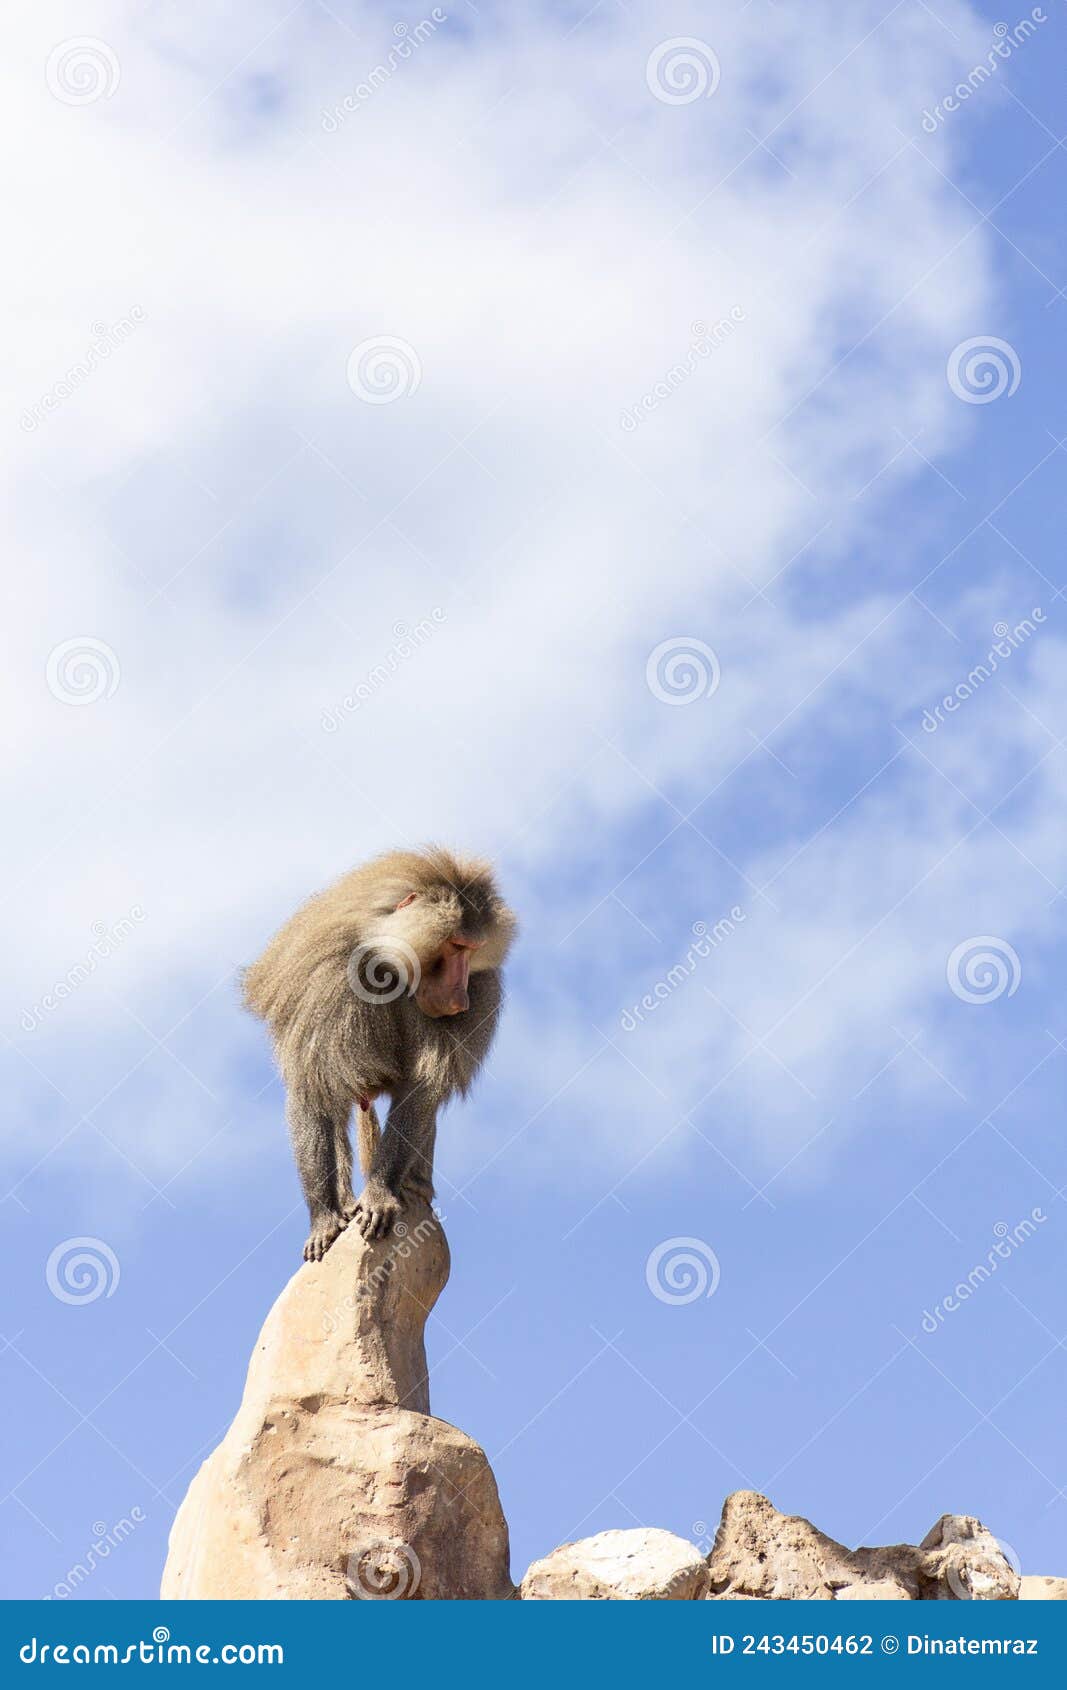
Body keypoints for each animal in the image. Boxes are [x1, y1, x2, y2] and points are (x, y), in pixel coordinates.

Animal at [243, 847, 516, 1262]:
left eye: (472, 951)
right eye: (455, 946)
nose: (460, 1001)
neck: (388, 960)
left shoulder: (481, 988)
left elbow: (423, 1089)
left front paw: (380, 1195)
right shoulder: (329, 980)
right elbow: (313, 1090)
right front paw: (323, 1220)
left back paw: (414, 1187)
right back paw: (344, 1204)